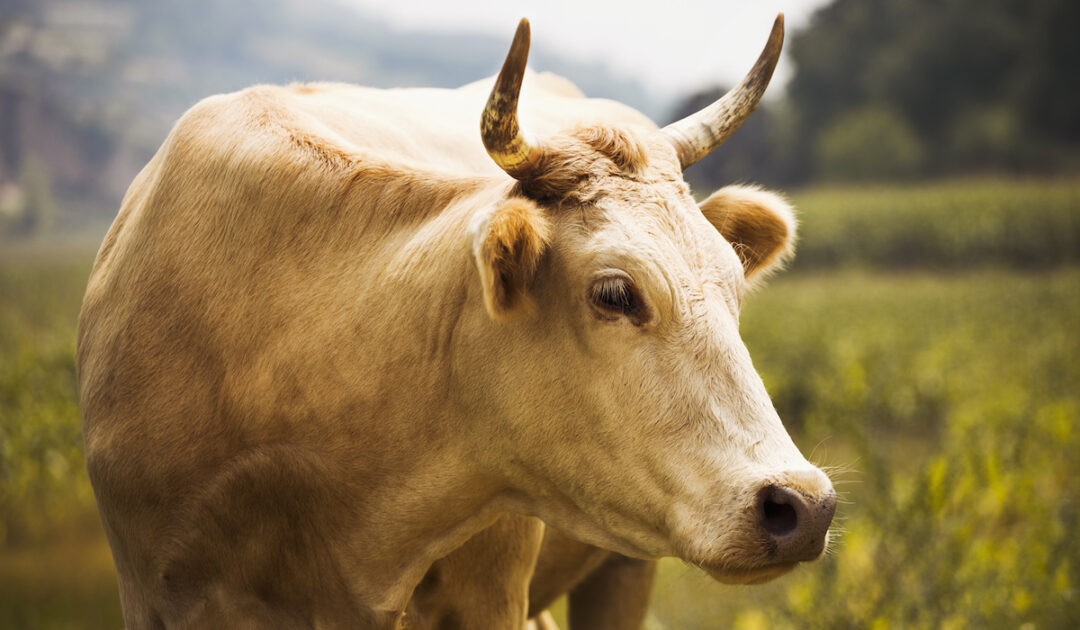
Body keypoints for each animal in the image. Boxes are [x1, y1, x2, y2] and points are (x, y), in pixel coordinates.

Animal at [77, 13, 835, 629]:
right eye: (615, 293)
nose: (803, 505)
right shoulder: (151, 596)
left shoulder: (486, 600)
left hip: (620, 573)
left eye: (734, 284)